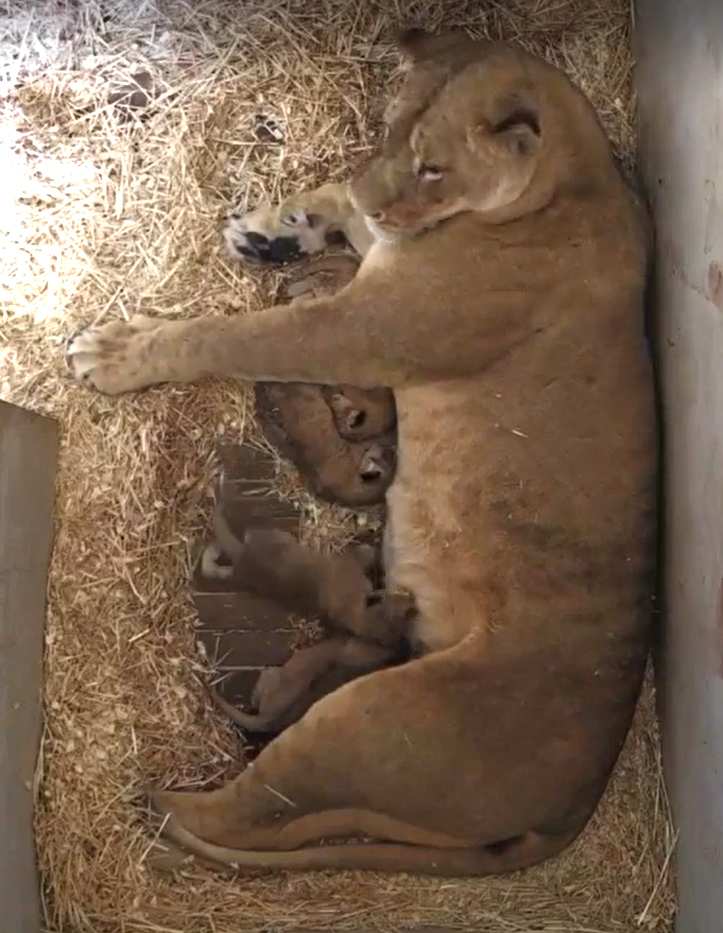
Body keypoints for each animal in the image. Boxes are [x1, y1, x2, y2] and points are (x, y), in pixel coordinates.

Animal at [65, 29, 657, 876]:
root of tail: (574, 808)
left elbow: (235, 335)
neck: (570, 178)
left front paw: (117, 352)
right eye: (385, 132)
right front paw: (273, 228)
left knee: (249, 812)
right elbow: (335, 202)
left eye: (433, 165)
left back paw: (156, 806)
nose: (381, 199)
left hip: (371, 721)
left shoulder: (360, 328)